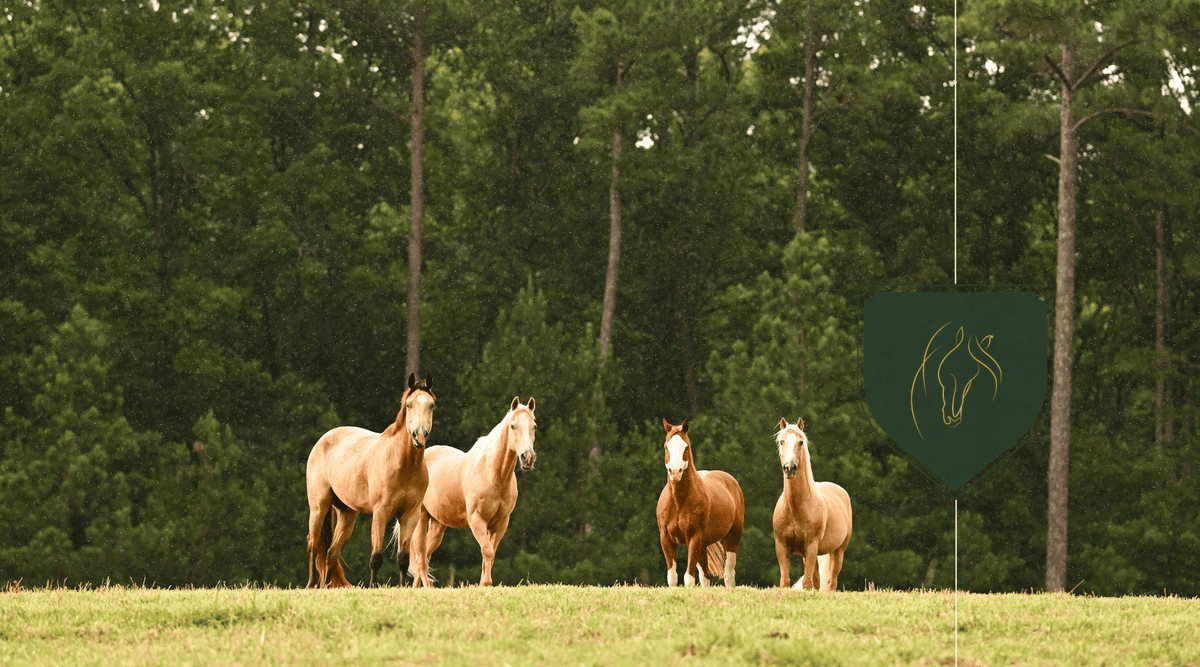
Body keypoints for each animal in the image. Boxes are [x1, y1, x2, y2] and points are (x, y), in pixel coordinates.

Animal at [305, 373, 435, 588]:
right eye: (409, 405)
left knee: (331, 552)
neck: (403, 465)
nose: (420, 435)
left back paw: (326, 586)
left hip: (347, 514)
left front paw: (402, 586)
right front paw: (373, 586)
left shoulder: (410, 514)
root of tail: (322, 440)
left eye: (432, 405)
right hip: (319, 507)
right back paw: (312, 584)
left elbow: (403, 557)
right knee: (314, 546)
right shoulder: (380, 512)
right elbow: (376, 556)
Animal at [404, 397, 537, 587]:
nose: (528, 457)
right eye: (513, 426)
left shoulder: (501, 523)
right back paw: (428, 588)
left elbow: (490, 554)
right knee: (421, 558)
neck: (493, 473)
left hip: (438, 525)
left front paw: (484, 583)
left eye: (534, 426)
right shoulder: (477, 519)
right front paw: (486, 584)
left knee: (426, 555)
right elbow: (487, 551)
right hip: (421, 518)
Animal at [656, 418, 744, 588]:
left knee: (729, 575)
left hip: (732, 537)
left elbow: (688, 578)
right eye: (666, 446)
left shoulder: (694, 537)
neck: (678, 502)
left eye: (686, 447)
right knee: (705, 577)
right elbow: (673, 578)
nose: (675, 472)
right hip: (703, 545)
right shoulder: (666, 538)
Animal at [772, 417, 852, 591]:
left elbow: (807, 583)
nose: (789, 468)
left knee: (831, 581)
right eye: (781, 441)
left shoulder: (811, 546)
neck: (795, 507)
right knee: (817, 579)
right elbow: (785, 581)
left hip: (837, 552)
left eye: (801, 442)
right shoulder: (782, 547)